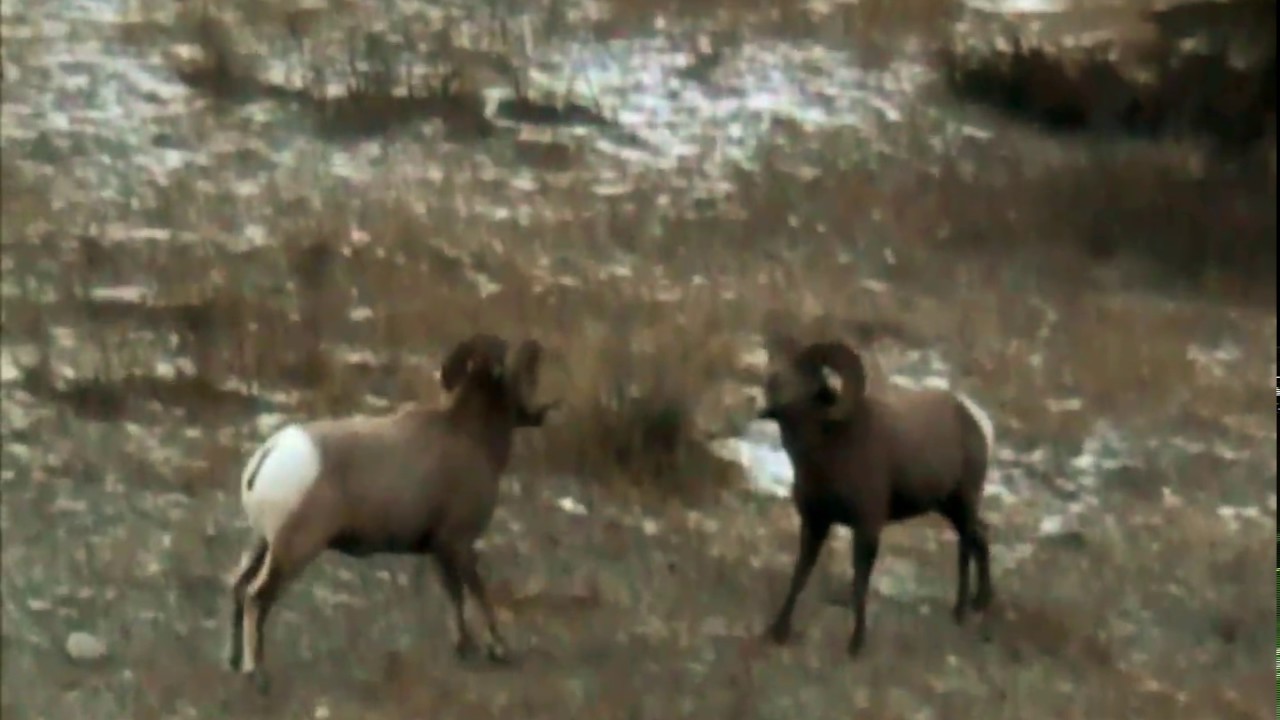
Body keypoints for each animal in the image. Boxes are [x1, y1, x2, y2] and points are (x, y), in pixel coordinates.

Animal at [225, 333, 557, 689]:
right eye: (527, 373)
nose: (536, 414)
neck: (471, 438)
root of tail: (271, 453)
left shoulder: (439, 550)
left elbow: (454, 596)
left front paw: (464, 647)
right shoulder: (459, 544)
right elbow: (477, 593)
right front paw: (499, 649)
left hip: (262, 543)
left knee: (238, 587)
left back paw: (233, 662)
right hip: (294, 550)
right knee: (257, 597)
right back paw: (257, 673)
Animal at [756, 336, 996, 657]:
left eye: (807, 373)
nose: (772, 383)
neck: (828, 452)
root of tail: (975, 423)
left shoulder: (867, 528)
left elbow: (859, 584)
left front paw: (856, 644)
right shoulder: (816, 523)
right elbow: (800, 574)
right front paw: (779, 631)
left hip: (964, 501)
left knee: (968, 544)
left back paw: (961, 612)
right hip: (949, 507)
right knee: (980, 536)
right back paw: (980, 602)